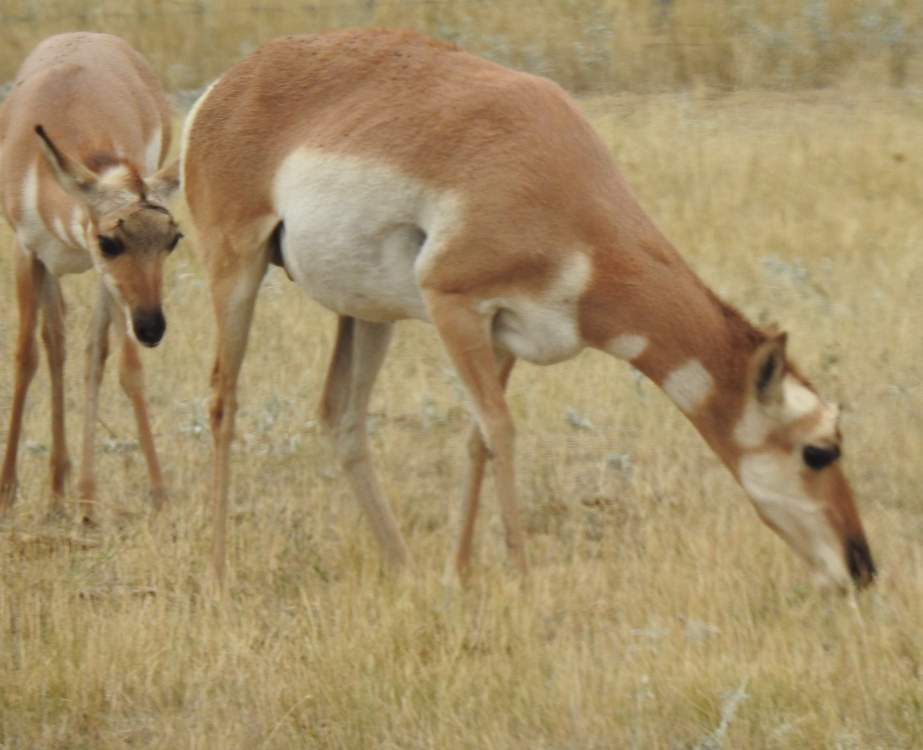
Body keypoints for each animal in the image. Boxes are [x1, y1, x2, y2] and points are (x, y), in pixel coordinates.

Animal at [0, 33, 182, 523]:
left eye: (172, 239)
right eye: (110, 240)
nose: (153, 328)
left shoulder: (108, 281)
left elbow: (125, 365)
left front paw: (159, 493)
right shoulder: (28, 254)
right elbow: (24, 358)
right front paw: (6, 490)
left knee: (88, 352)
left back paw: (76, 492)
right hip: (54, 271)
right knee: (54, 343)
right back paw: (57, 488)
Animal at [181, 29, 876, 590]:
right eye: (818, 450)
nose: (863, 568)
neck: (562, 186)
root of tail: (230, 82)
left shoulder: (506, 334)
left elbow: (477, 438)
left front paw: (458, 577)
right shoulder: (453, 305)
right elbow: (502, 430)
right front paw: (520, 579)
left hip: (367, 313)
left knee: (341, 416)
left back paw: (405, 571)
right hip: (237, 269)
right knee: (222, 400)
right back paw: (217, 576)